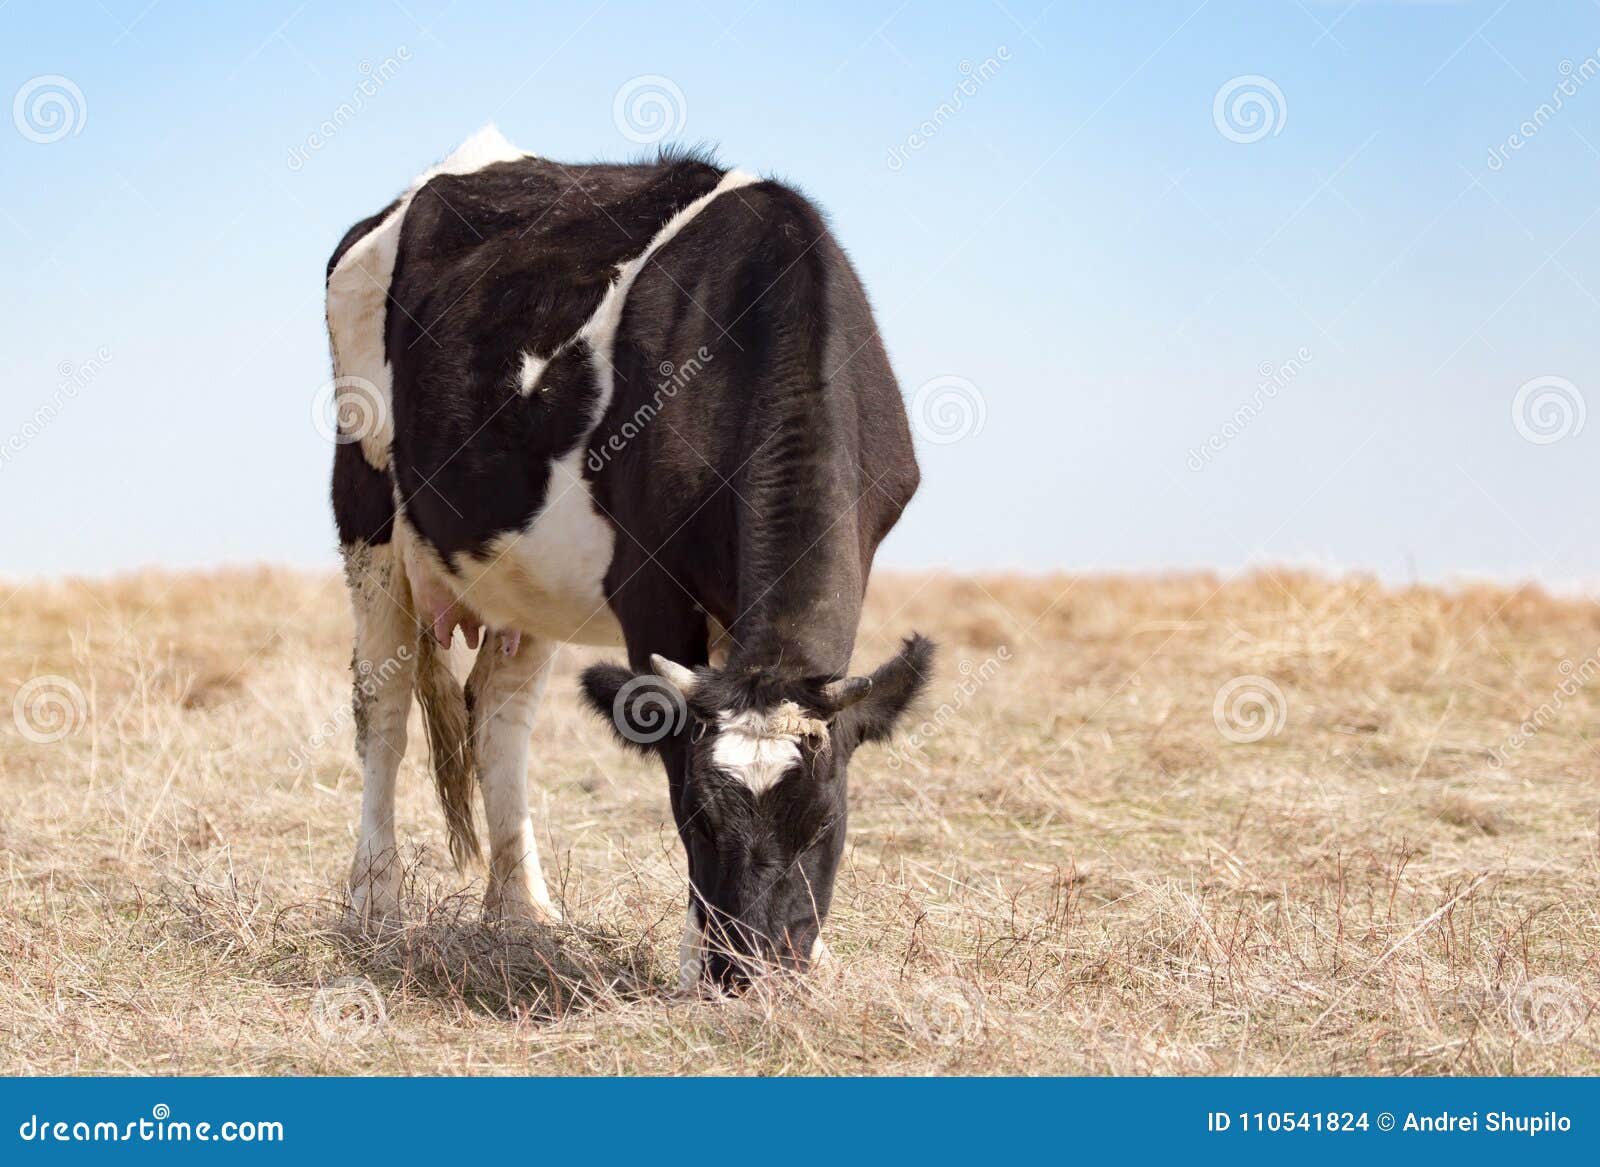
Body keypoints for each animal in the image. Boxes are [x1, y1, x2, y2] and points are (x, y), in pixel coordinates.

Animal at [324, 126, 931, 993]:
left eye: (825, 821)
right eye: (699, 821)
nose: (749, 972)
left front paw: (817, 957)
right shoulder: (648, 582)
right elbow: (671, 742)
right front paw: (691, 961)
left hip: (522, 571)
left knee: (500, 714)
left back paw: (521, 910)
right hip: (365, 501)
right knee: (384, 704)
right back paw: (373, 903)